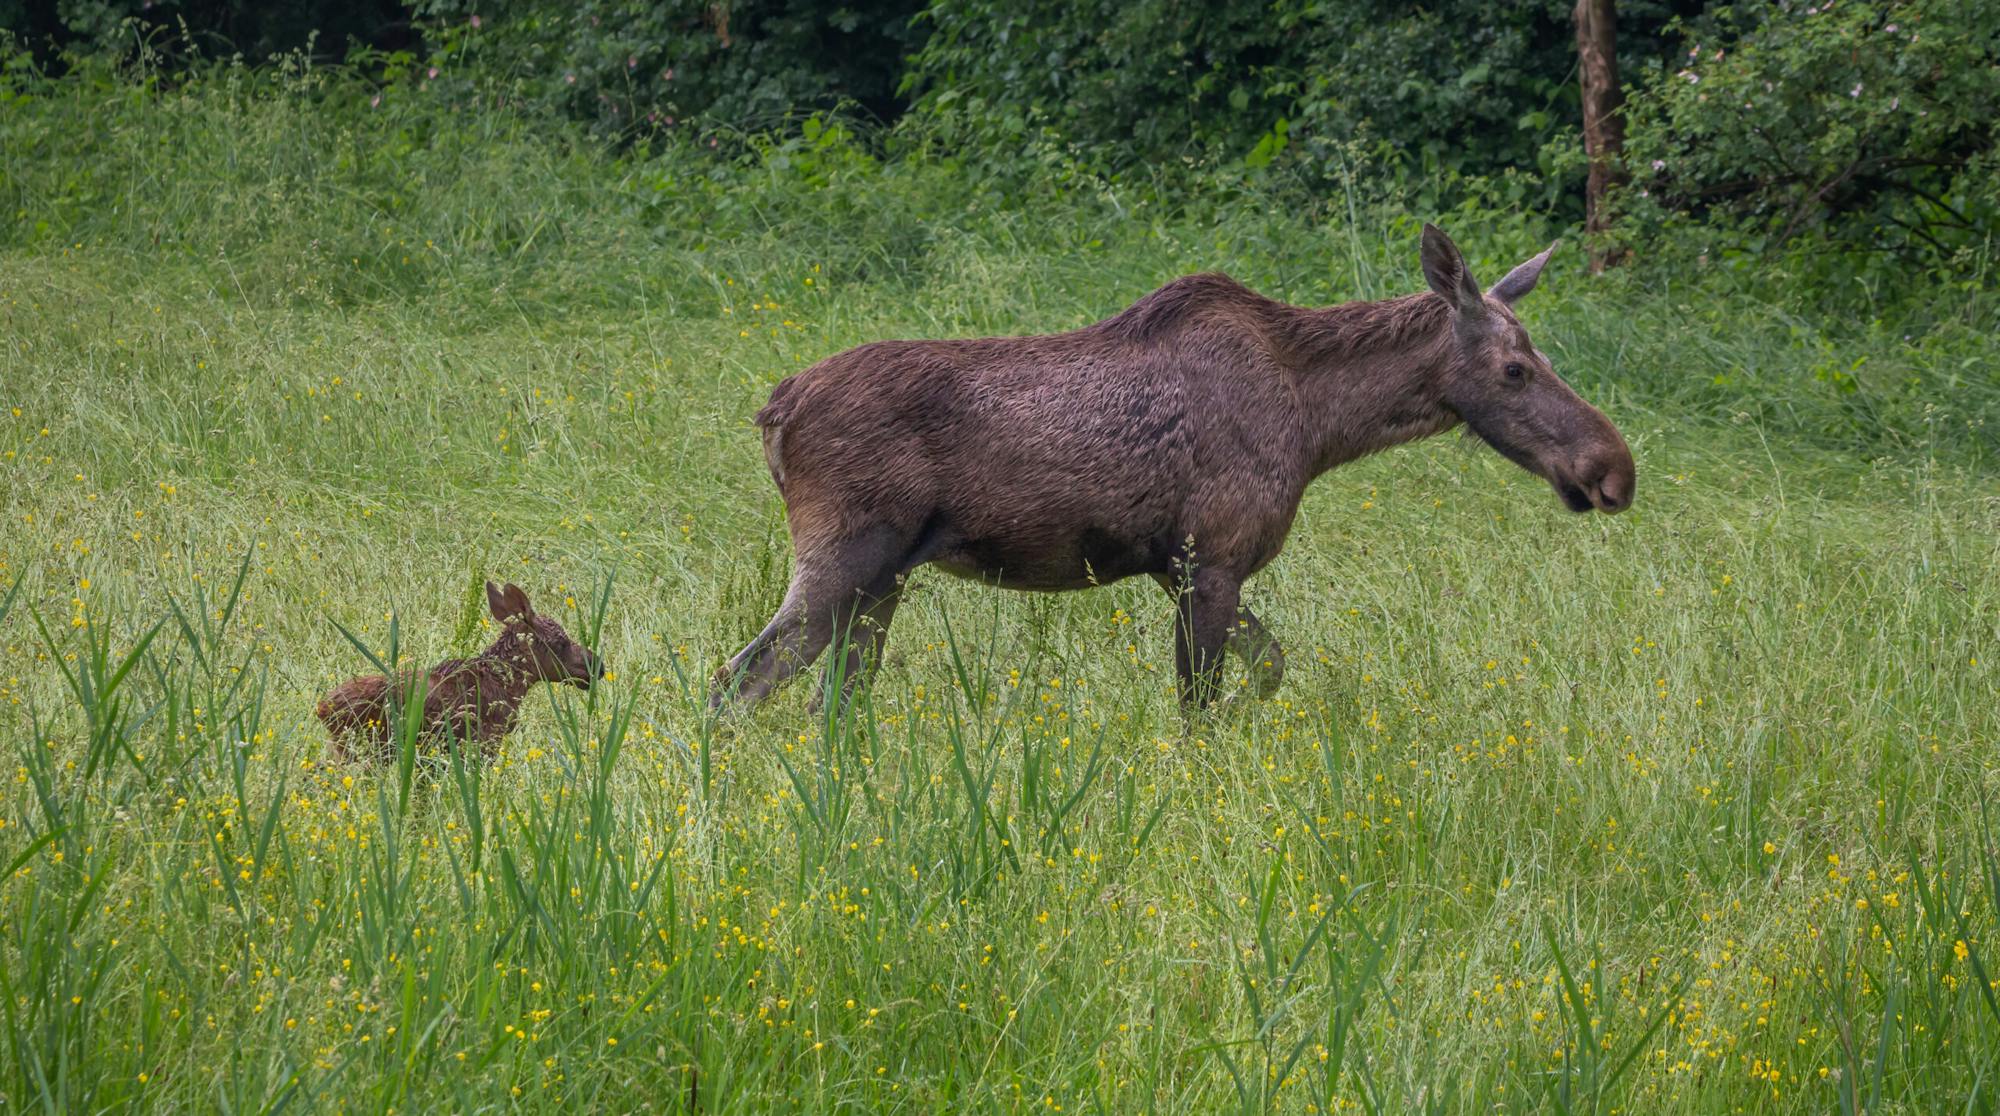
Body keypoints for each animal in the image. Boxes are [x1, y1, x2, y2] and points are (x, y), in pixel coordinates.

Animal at [710, 225, 1634, 712]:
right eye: (1515, 370)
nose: (1613, 467)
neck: (1319, 428)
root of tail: (773, 414)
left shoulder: (1173, 565)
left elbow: (1268, 668)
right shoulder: (1210, 558)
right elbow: (1199, 708)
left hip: (885, 578)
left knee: (831, 701)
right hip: (845, 557)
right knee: (735, 682)